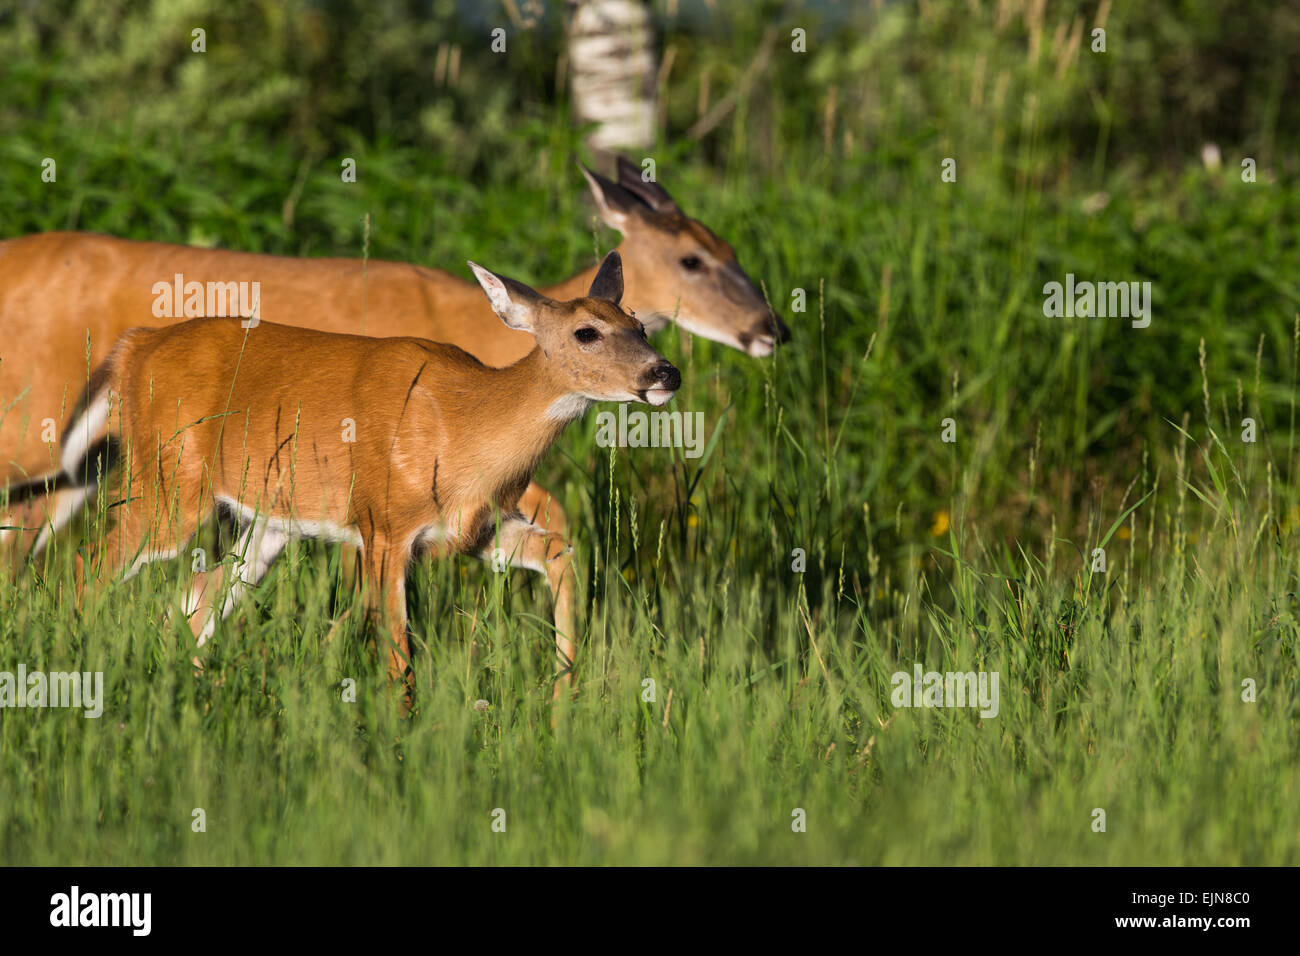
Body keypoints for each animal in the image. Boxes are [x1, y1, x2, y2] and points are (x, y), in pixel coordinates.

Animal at [25, 251, 673, 702]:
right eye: (586, 331)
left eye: (640, 325)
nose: (666, 373)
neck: (464, 428)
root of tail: (133, 347)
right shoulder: (384, 524)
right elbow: (397, 657)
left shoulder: (474, 531)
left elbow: (562, 554)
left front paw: (563, 701)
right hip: (169, 484)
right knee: (86, 565)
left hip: (268, 522)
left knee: (192, 604)